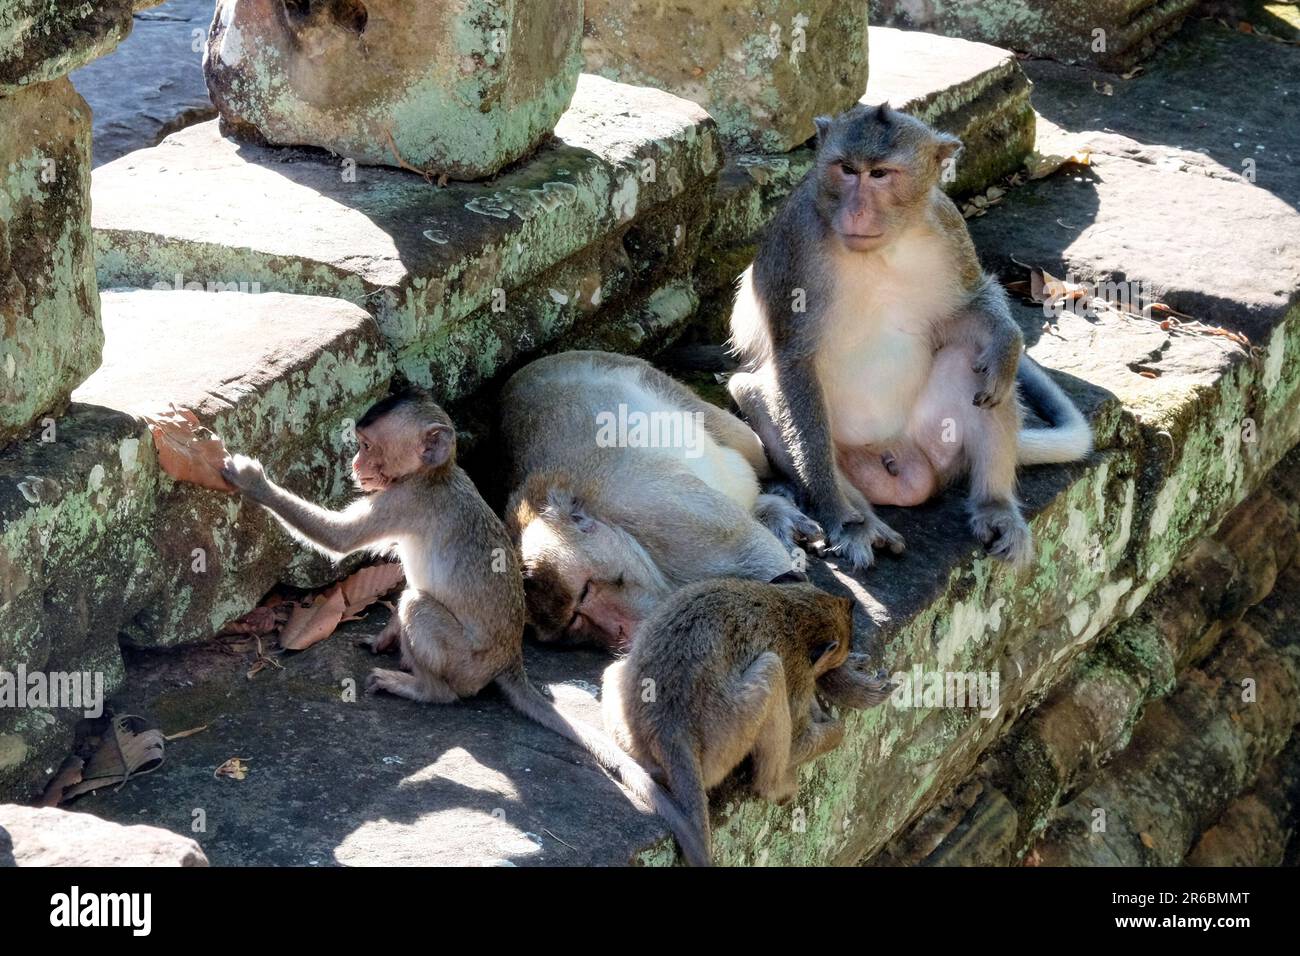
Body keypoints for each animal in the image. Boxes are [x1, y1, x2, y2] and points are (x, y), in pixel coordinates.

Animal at [219, 389, 698, 849]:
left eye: (368, 446)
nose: (356, 464)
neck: (434, 474)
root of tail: (510, 660)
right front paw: (386, 635)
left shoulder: (403, 500)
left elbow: (338, 540)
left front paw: (252, 481)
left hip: (467, 661)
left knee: (419, 609)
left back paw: (422, 687)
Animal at [500, 350, 826, 653]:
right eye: (573, 623)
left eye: (585, 592)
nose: (617, 632)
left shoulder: (664, 517)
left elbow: (756, 553)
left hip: (659, 383)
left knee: (741, 439)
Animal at [600, 577, 895, 866]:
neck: (793, 611)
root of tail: (668, 730)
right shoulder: (797, 667)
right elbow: (798, 741)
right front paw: (835, 724)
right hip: (728, 736)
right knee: (772, 669)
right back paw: (774, 785)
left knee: (614, 670)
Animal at [728, 103, 1092, 569]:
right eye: (846, 169)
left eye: (880, 174)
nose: (856, 211)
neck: (884, 246)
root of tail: (889, 450)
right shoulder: (795, 243)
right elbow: (794, 362)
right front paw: (837, 512)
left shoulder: (948, 227)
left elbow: (966, 309)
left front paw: (1007, 340)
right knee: (753, 389)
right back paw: (860, 520)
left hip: (935, 444)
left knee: (973, 362)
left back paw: (995, 506)